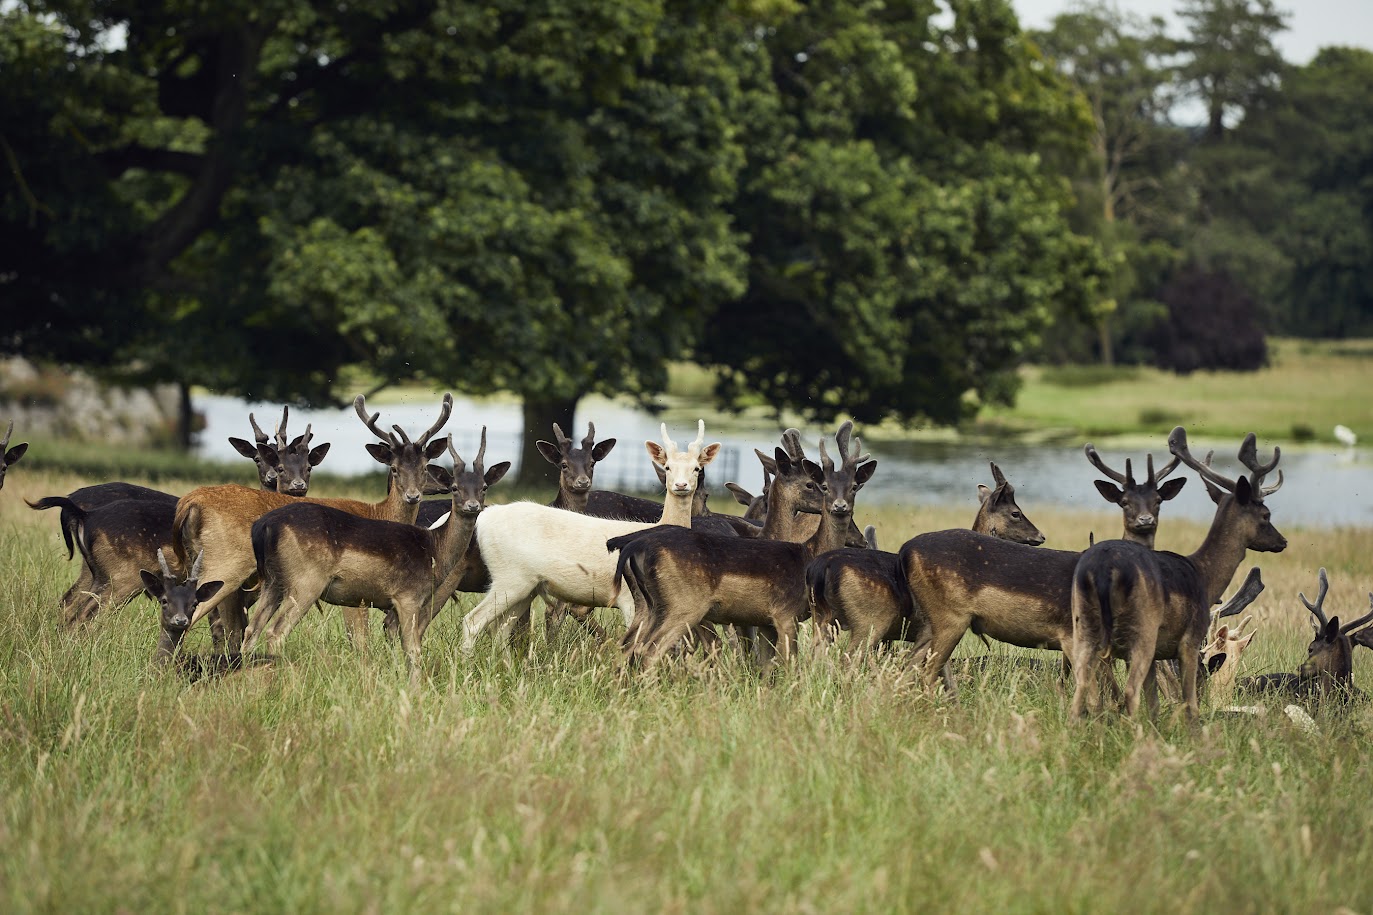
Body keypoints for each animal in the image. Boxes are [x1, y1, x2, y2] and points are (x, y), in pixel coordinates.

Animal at [171, 393, 452, 656]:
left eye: (424, 467)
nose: (414, 495)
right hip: (227, 563)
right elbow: (360, 639)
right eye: (394, 468)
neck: (379, 512)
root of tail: (190, 501)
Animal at [242, 431, 510, 680]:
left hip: (273, 582)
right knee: (275, 632)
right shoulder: (407, 597)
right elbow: (413, 649)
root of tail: (264, 526)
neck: (434, 549)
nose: (473, 506)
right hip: (305, 583)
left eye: (484, 487)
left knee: (251, 629)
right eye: (455, 487)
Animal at [457, 421, 722, 656]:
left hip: (527, 585)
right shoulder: (629, 597)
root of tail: (485, 519)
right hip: (510, 577)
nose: (681, 485)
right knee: (473, 621)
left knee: (500, 629)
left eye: (696, 468)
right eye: (667, 467)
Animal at [609, 422, 877, 671]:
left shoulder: (763, 621)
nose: (838, 506)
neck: (807, 553)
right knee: (654, 651)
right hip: (685, 606)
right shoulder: (784, 615)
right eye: (815, 484)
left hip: (648, 606)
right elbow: (784, 663)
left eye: (855, 487)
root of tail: (633, 547)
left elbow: (765, 666)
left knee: (628, 646)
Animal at [1066, 429, 1287, 723]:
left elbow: (1154, 701)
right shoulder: (1190, 641)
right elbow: (1189, 701)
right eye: (1266, 514)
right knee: (1128, 691)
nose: (1282, 541)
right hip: (1140, 631)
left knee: (1082, 686)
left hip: (1085, 625)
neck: (1204, 575)